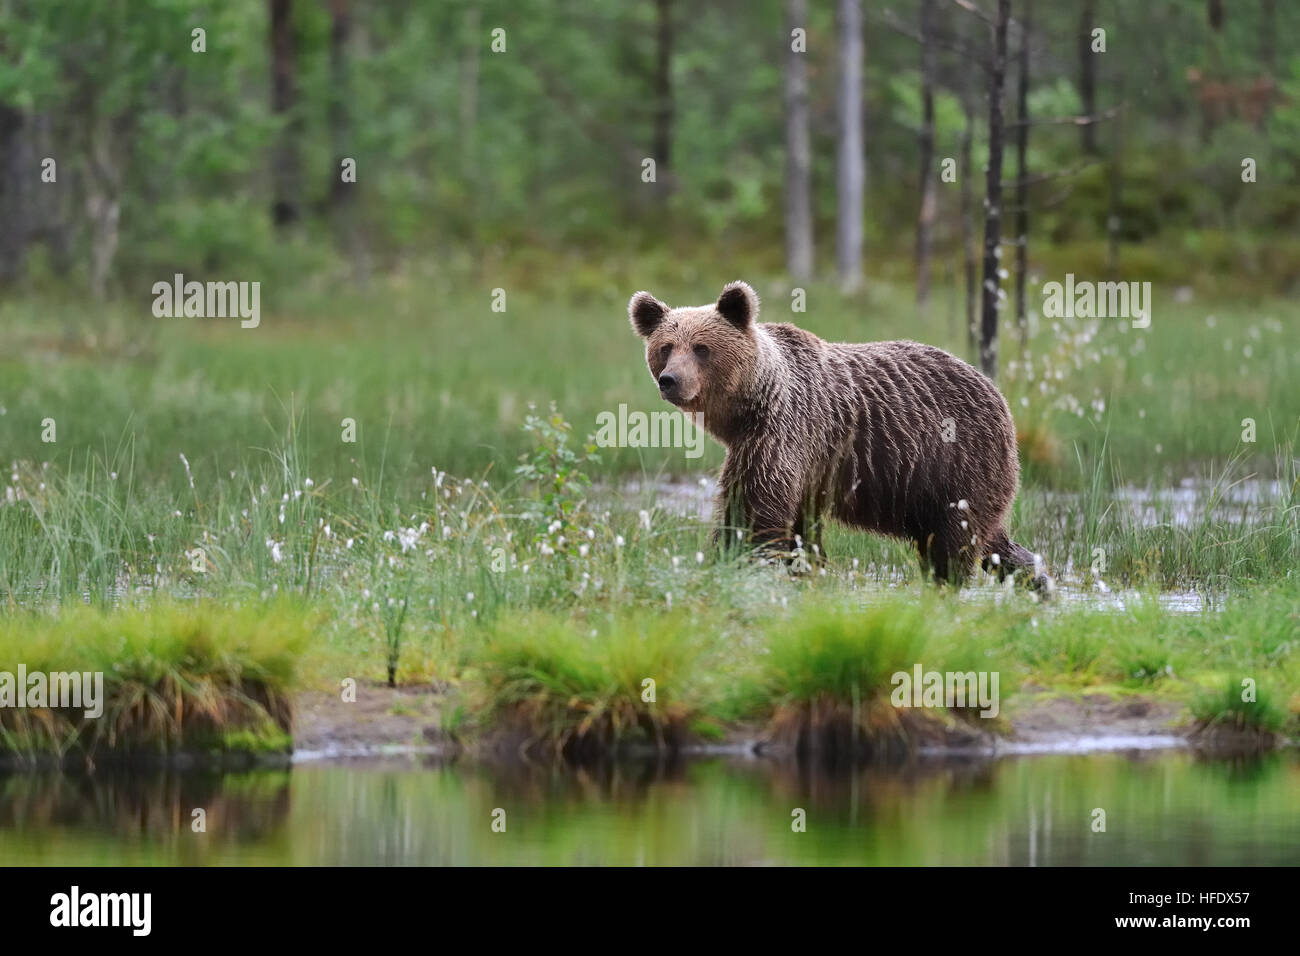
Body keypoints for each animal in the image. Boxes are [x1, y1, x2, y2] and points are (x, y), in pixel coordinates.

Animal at [627, 280, 1051, 591]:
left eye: (701, 348)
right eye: (666, 347)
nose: (670, 380)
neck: (750, 405)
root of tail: (997, 393)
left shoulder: (786, 431)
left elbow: (754, 506)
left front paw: (733, 558)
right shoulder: (795, 460)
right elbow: (791, 522)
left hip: (957, 460)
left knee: (954, 538)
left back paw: (948, 585)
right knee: (990, 540)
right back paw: (1037, 579)